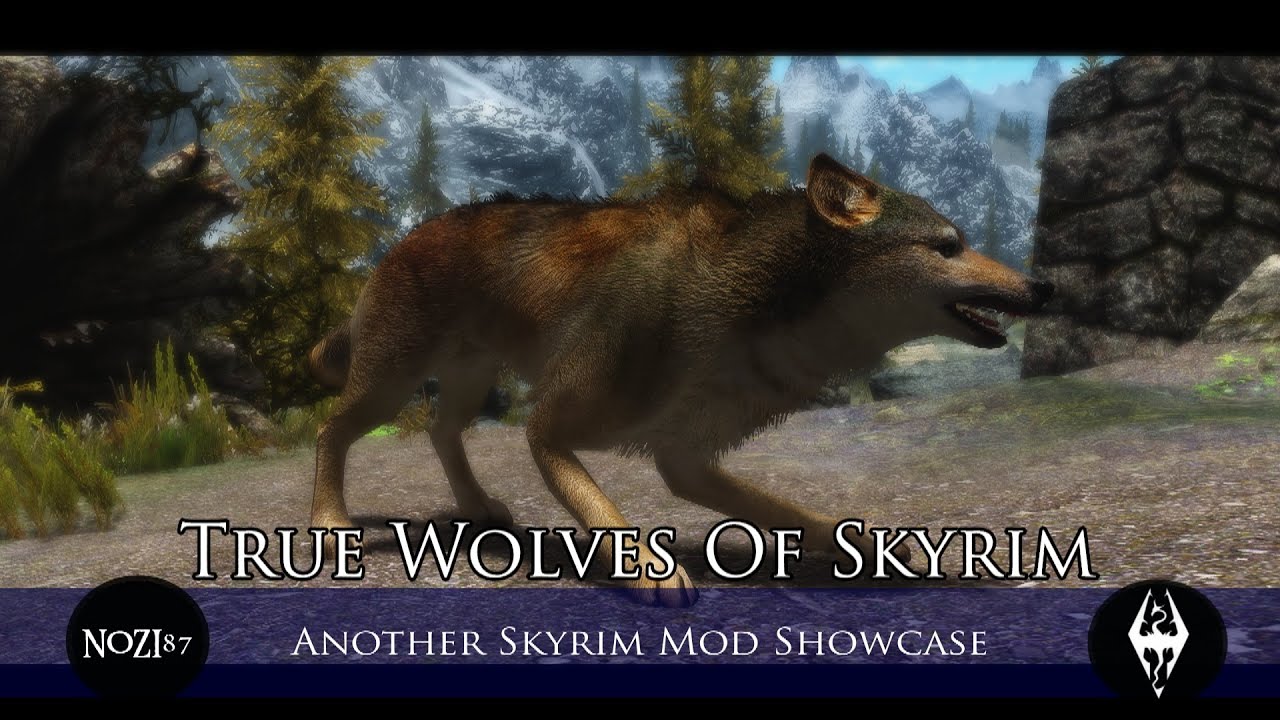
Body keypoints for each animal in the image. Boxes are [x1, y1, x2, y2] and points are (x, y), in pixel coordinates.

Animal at [307, 153, 1053, 606]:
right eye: (948, 247)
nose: (1044, 286)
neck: (751, 306)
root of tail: (404, 238)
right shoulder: (552, 427)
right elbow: (600, 508)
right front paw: (646, 569)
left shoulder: (688, 460)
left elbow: (792, 514)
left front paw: (874, 550)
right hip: (391, 381)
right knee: (330, 429)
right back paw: (329, 522)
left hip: (464, 380)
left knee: (440, 429)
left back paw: (477, 507)